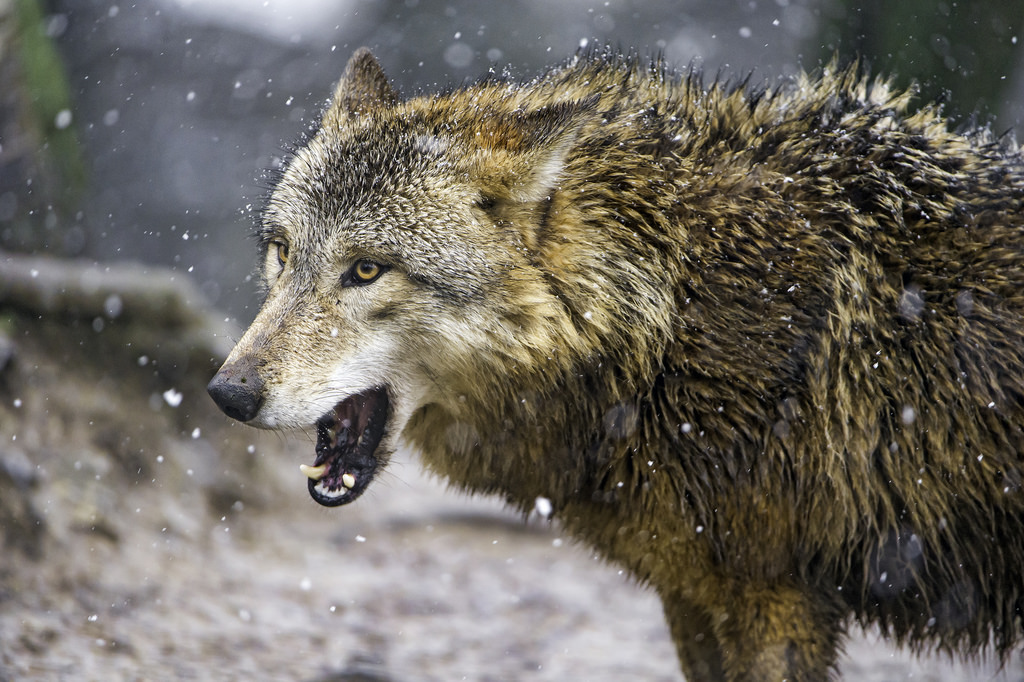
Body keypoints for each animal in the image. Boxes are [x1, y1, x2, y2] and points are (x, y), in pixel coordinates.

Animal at [208, 48, 1024, 680]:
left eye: (368, 271)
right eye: (283, 252)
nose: (226, 394)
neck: (666, 312)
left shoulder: (775, 597)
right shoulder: (691, 591)